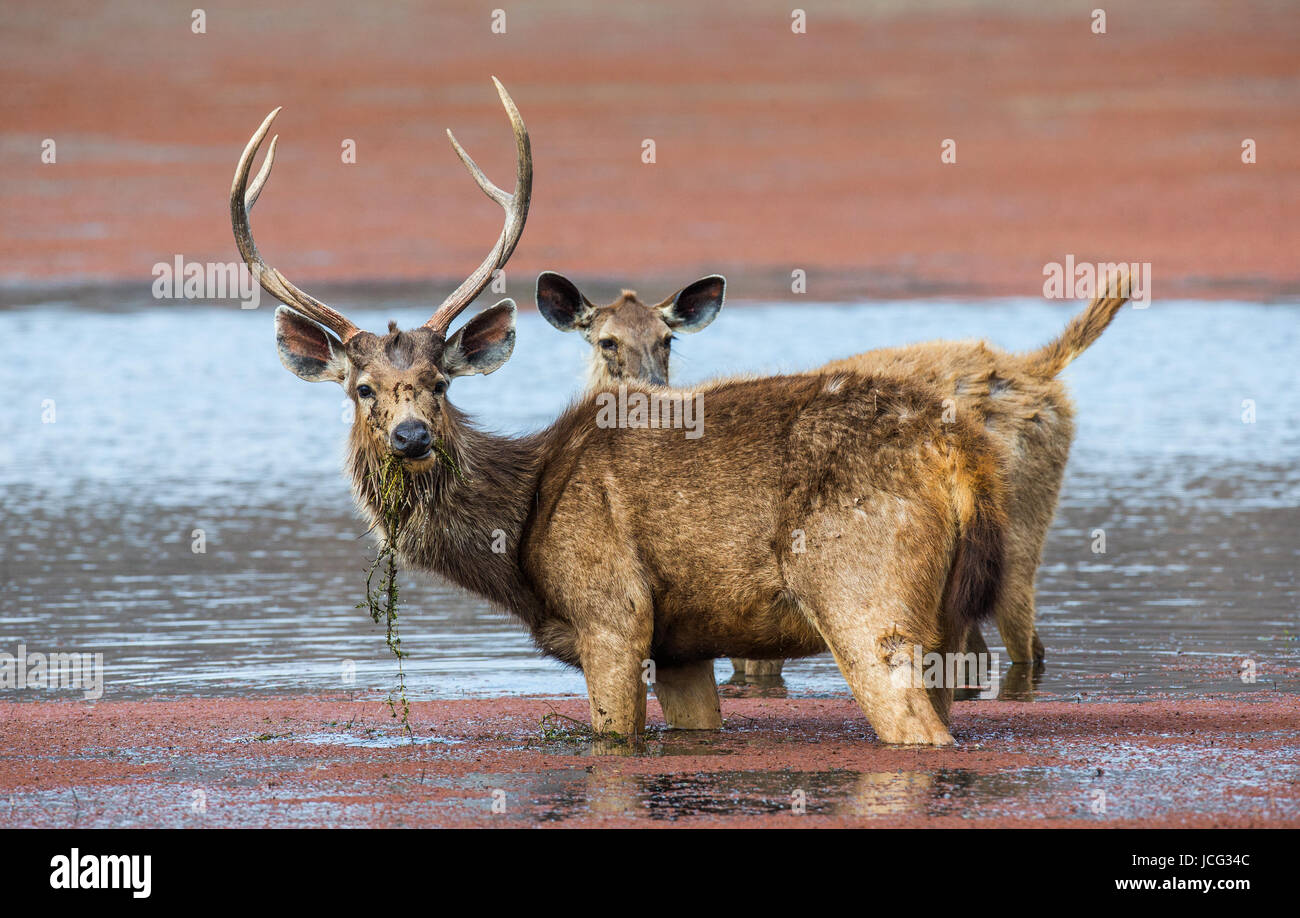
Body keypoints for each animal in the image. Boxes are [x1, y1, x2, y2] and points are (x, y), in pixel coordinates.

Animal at [232, 79, 1011, 745]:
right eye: (362, 389)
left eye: (439, 382)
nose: (412, 435)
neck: (520, 535)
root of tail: (962, 458)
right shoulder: (683, 646)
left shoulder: (613, 615)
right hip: (950, 620)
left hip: (864, 599)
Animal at [535, 270, 1133, 688]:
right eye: (606, 341)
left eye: (667, 340)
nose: (651, 390)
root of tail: (1038, 369)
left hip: (1017, 534)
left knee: (1026, 646)